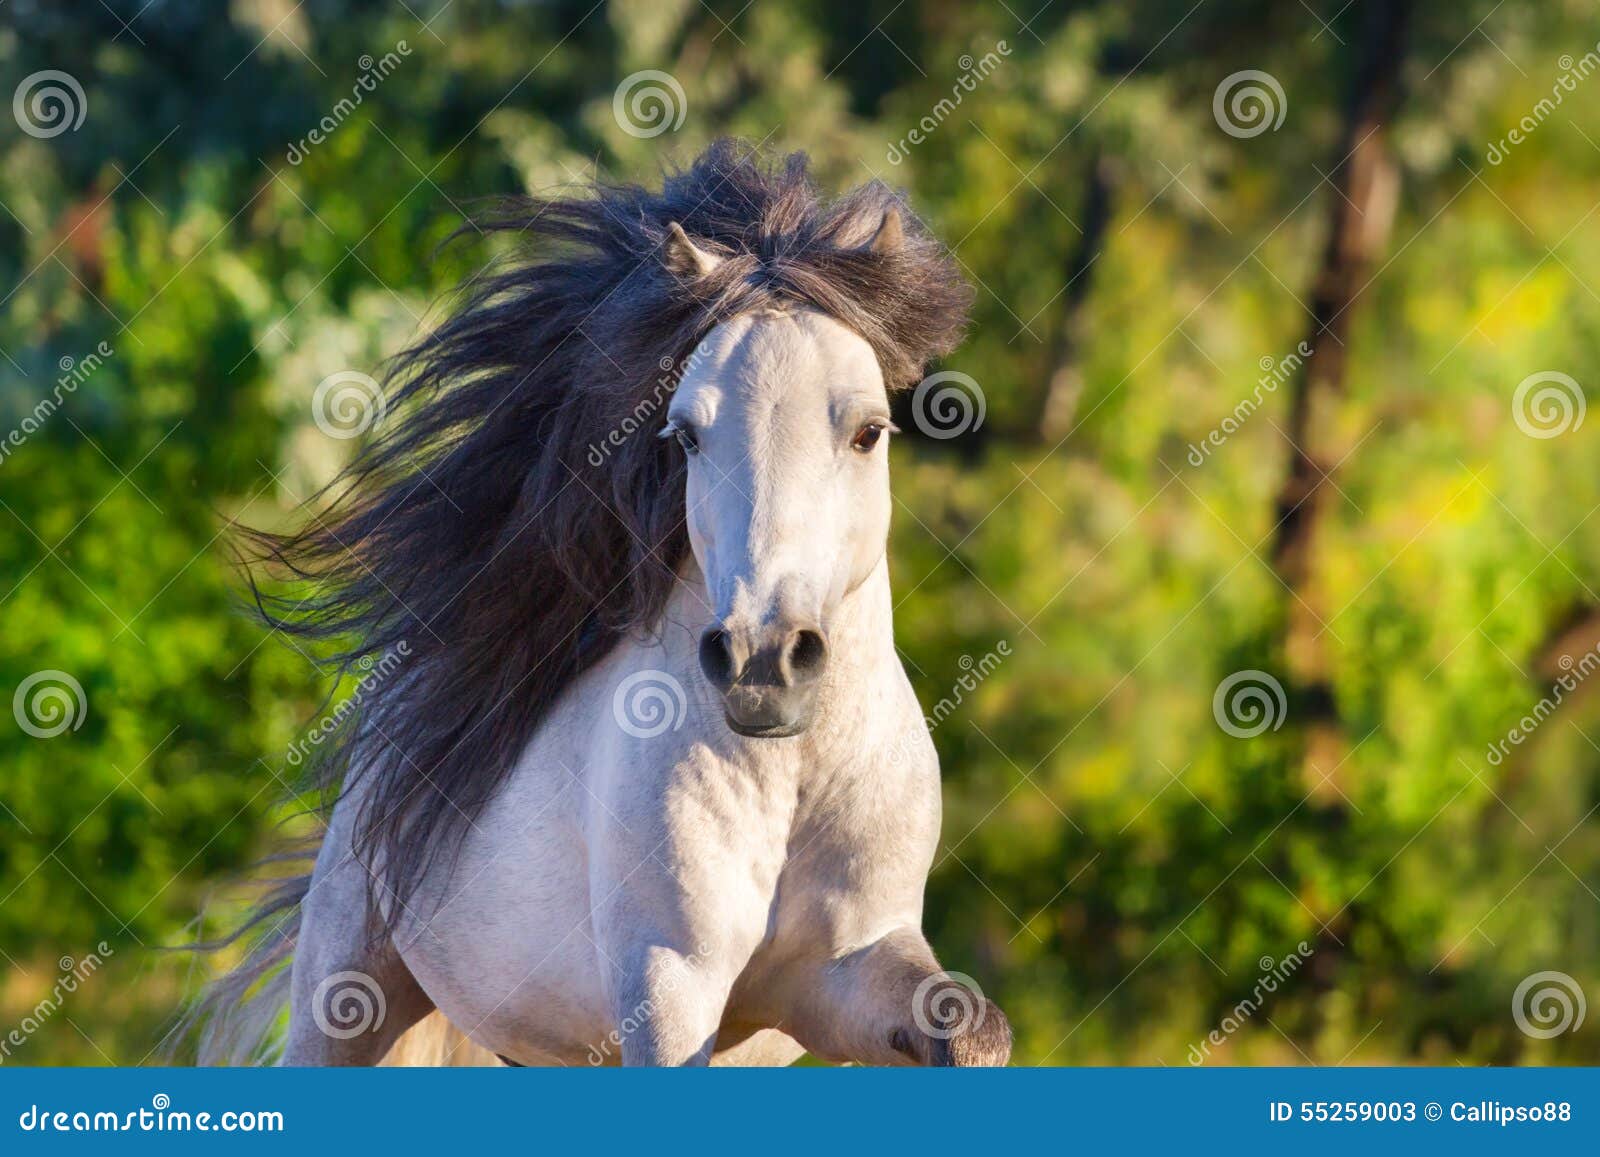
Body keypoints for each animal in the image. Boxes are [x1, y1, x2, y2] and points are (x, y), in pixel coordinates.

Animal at [194, 140, 1012, 1067]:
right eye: (687, 435)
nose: (763, 663)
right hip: (347, 995)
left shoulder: (848, 969)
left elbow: (969, 1032)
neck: (794, 776)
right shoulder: (668, 988)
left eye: (869, 431)